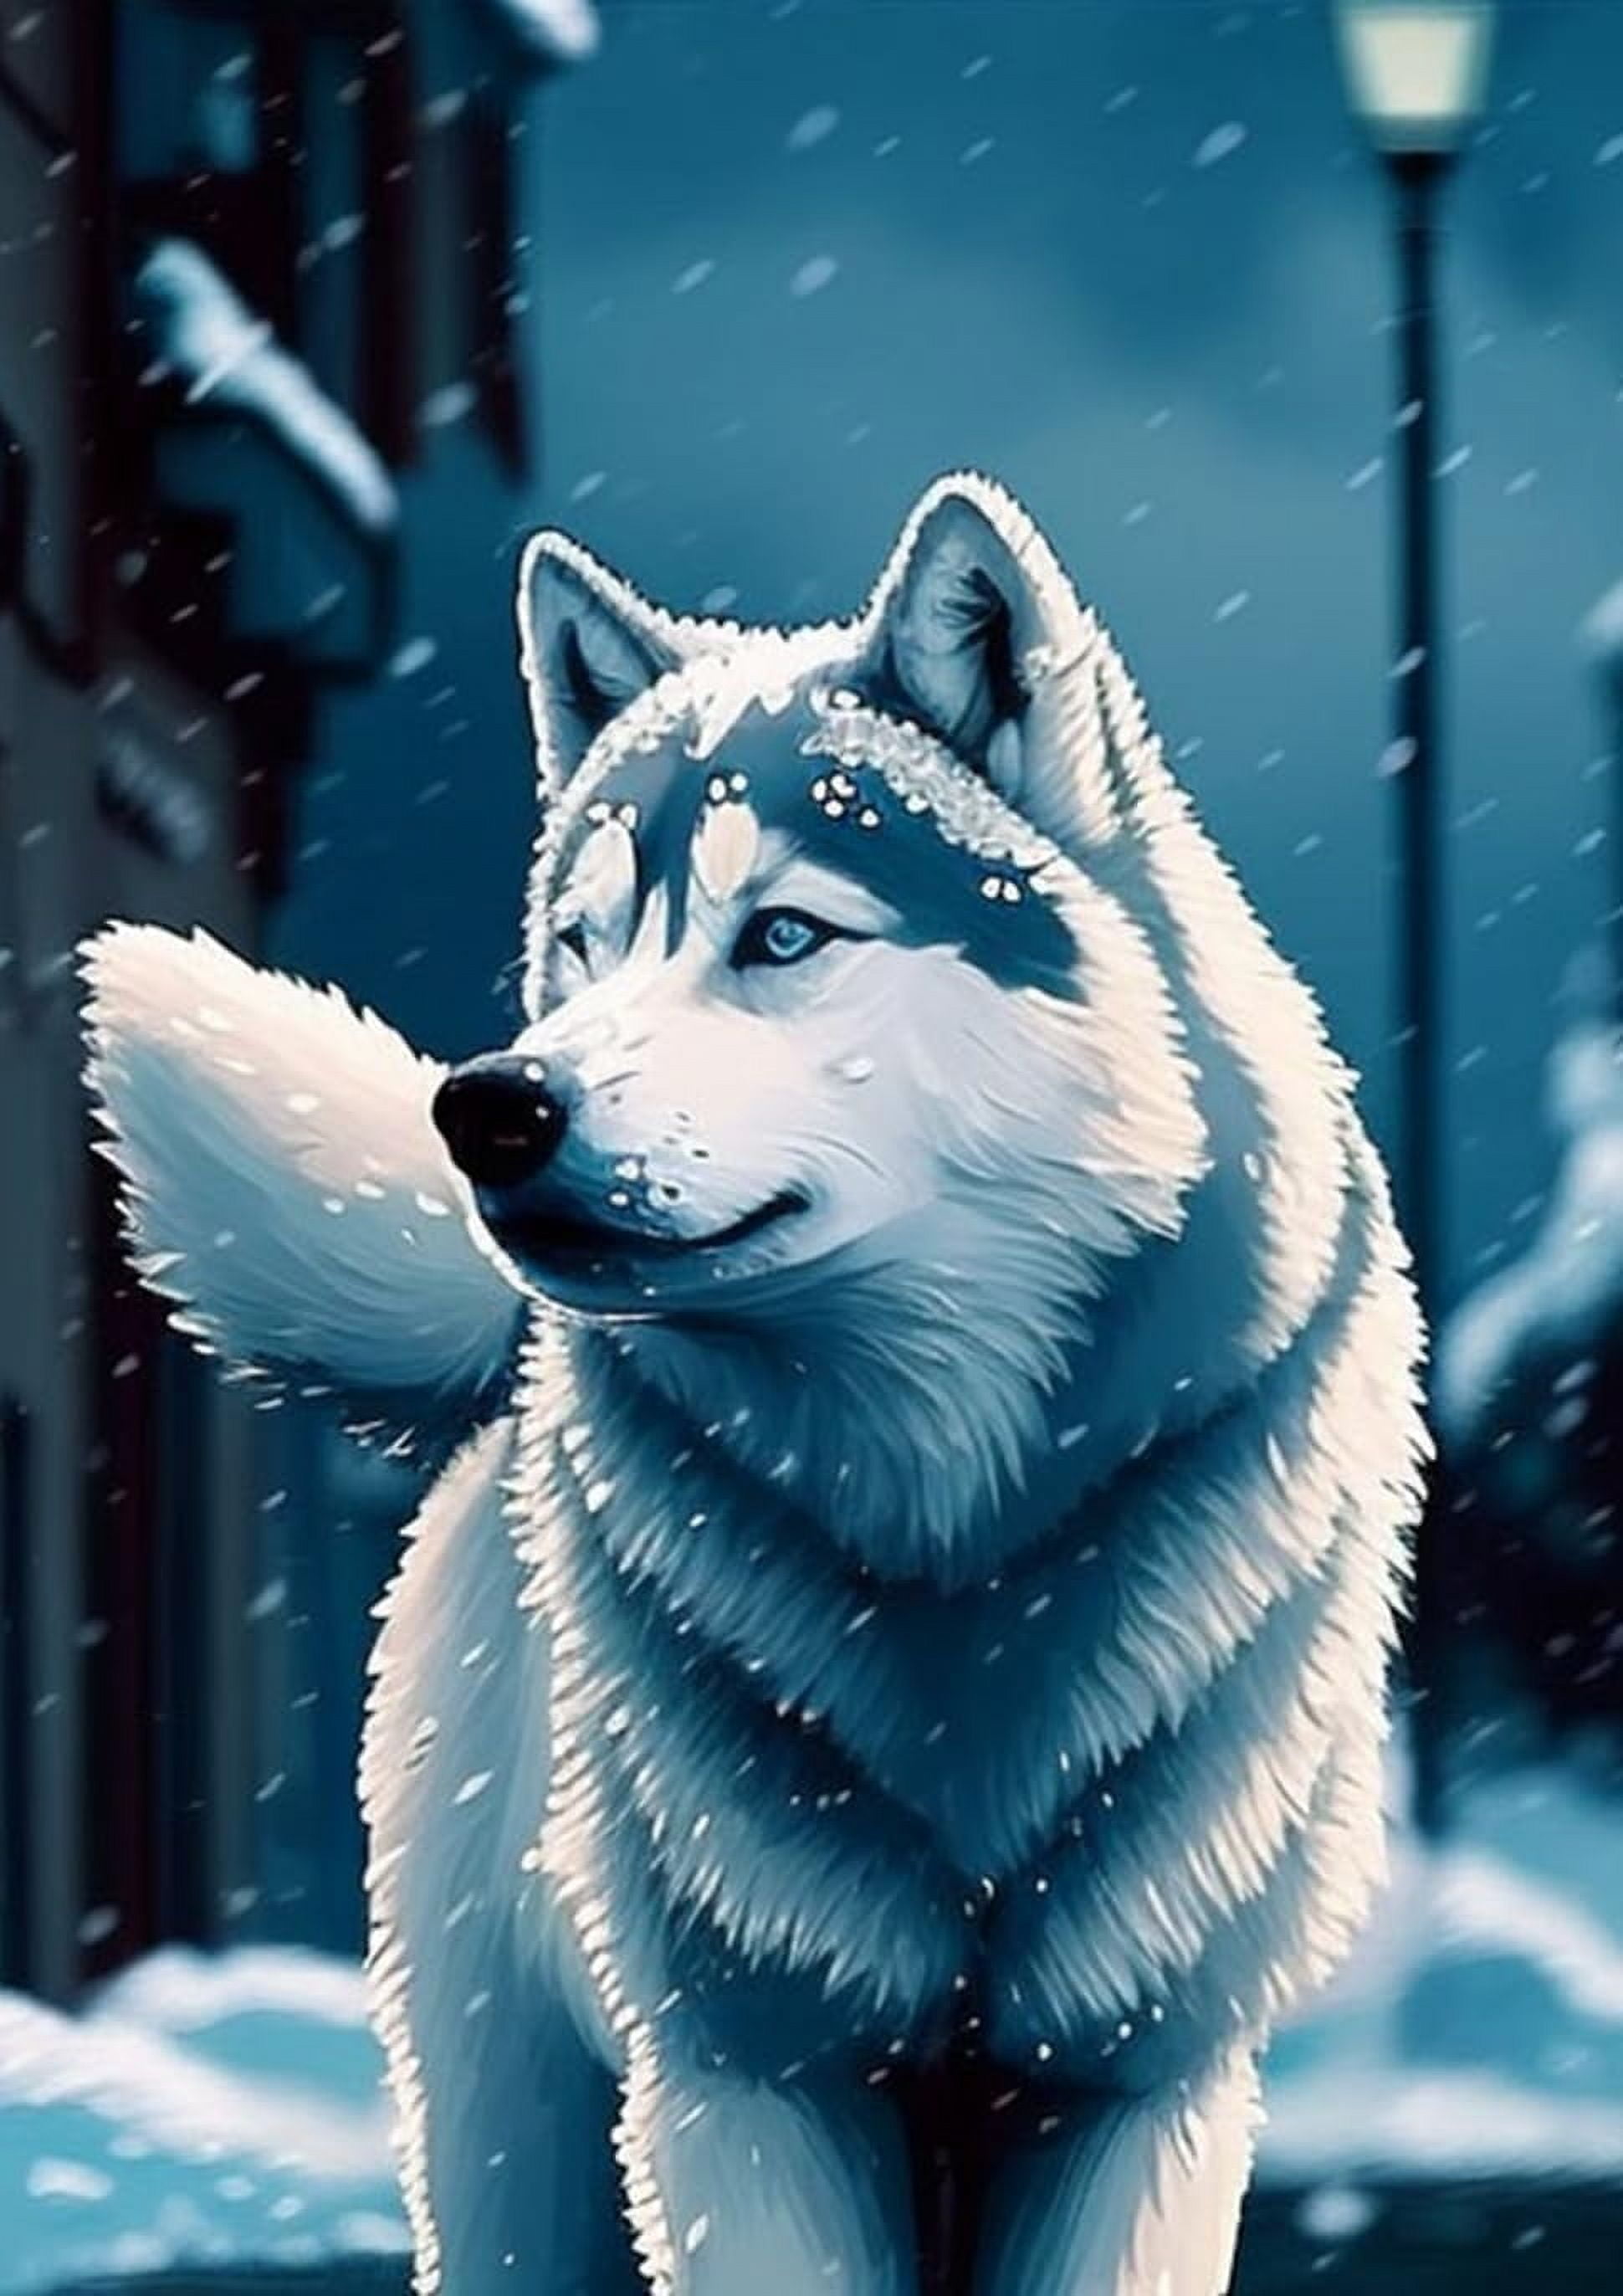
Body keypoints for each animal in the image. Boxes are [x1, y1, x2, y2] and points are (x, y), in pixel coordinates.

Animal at [82, 474, 1425, 2296]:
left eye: (781, 933)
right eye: (581, 949)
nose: (487, 1107)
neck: (952, 1561)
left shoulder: (1137, 2085)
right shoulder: (749, 2073)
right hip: (514, 2131)